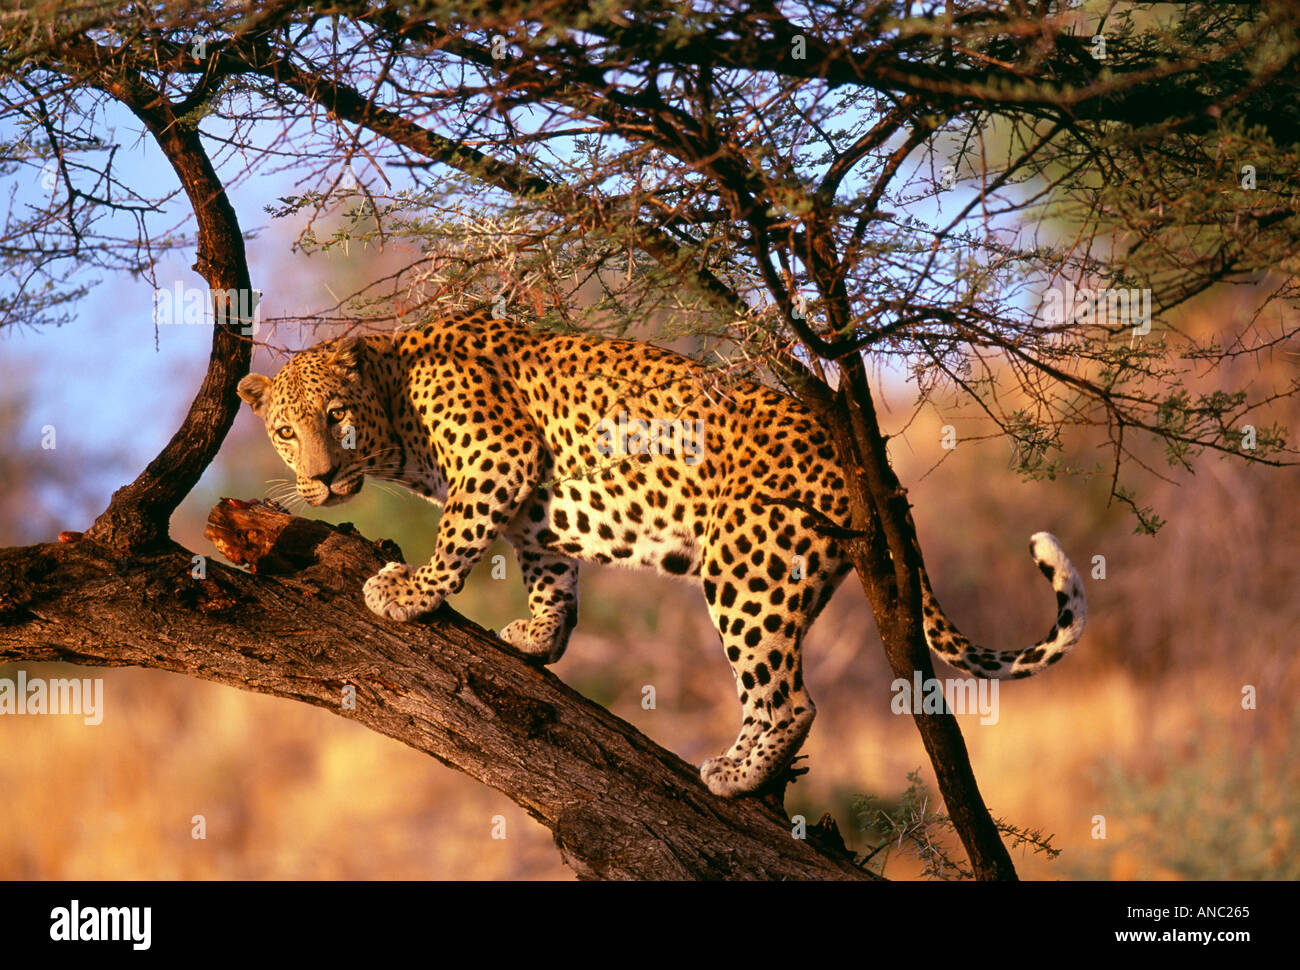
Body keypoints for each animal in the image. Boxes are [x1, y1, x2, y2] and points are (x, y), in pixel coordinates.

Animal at [237, 312, 1087, 797]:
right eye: (283, 431)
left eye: (334, 415)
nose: (319, 477)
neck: (394, 413)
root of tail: (859, 460)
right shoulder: (536, 504)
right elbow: (547, 567)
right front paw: (539, 636)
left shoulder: (498, 457)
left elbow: (457, 536)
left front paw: (408, 592)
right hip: (792, 578)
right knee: (781, 685)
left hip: (747, 565)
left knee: (790, 699)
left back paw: (736, 779)